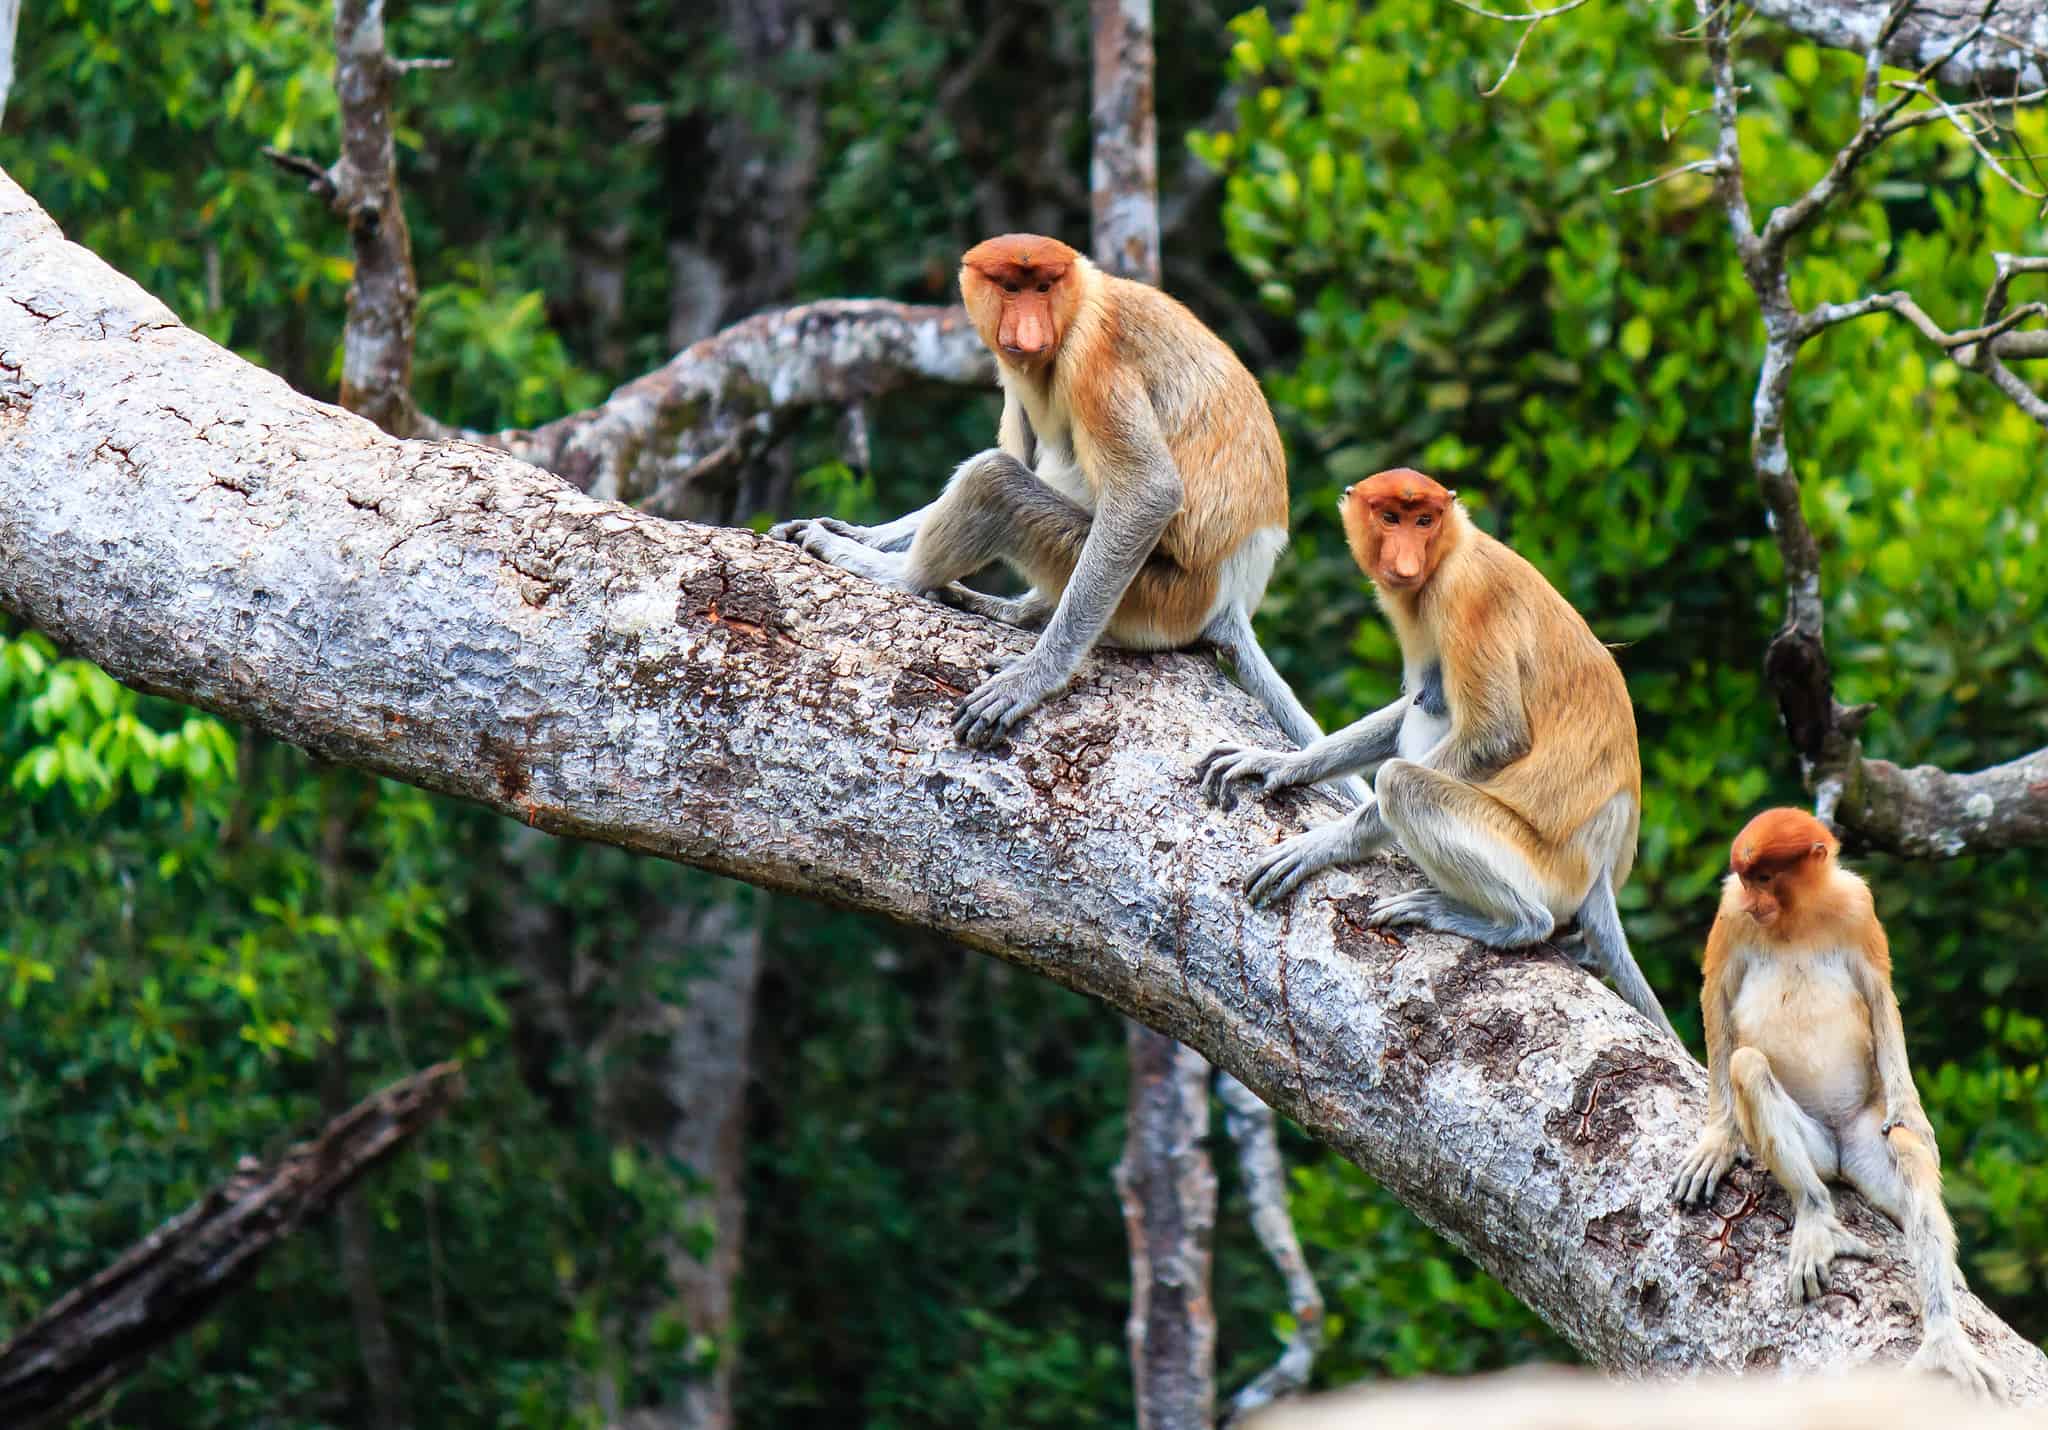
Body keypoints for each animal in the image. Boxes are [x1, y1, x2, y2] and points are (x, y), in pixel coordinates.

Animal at [769, 233, 1364, 787]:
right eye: (1011, 287)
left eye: (1043, 287)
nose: (1029, 332)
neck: (1079, 301)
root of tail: (1232, 596)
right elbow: (1021, 451)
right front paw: (857, 531)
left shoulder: (1091, 358)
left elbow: (1147, 493)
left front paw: (1030, 680)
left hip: (1158, 597)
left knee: (995, 481)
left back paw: (898, 576)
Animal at [1195, 468, 1676, 1040]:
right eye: (1390, 517)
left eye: (1425, 521)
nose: (1407, 562)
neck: (1453, 549)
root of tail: (1601, 863)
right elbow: (1410, 703)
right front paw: (1279, 763)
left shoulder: (1463, 596)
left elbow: (1495, 736)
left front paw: (1325, 844)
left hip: (1538, 862)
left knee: (1405, 781)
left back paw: (1508, 922)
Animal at [1673, 807, 2002, 1400]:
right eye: (1747, 880)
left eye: (1765, 877)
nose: (1755, 903)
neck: (1796, 916)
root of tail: (1842, 1151)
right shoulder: (1730, 916)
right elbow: (1718, 994)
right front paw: (1717, 1141)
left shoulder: (1857, 907)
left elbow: (1879, 993)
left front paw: (1914, 1115)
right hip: (1820, 1152)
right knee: (1748, 1066)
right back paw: (1816, 1220)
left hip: (1865, 1138)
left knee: (1903, 1148)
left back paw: (1944, 1336)